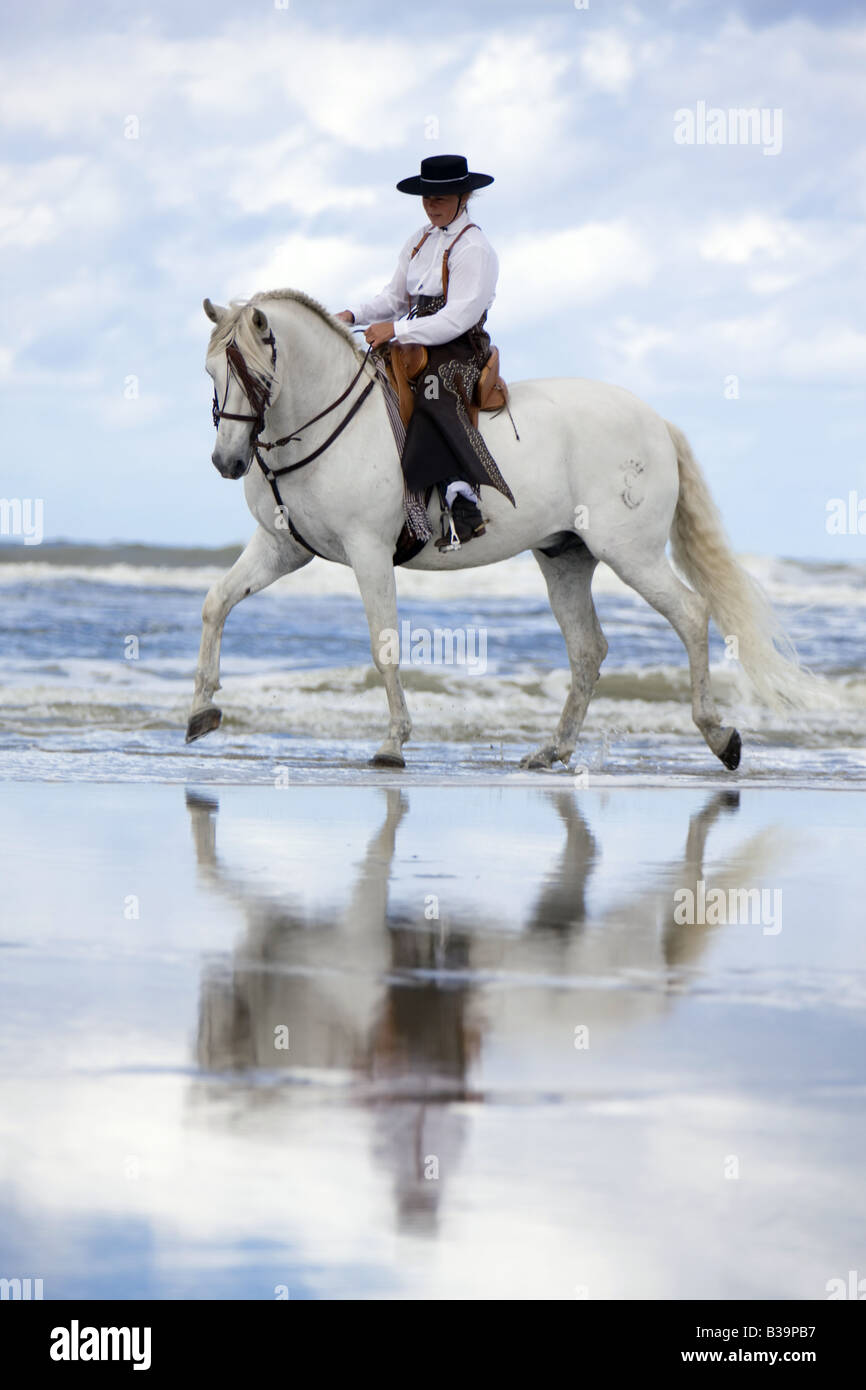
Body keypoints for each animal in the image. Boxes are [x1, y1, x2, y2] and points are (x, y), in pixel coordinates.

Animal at [188, 288, 814, 770]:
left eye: (255, 374)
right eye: (211, 372)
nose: (227, 461)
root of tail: (655, 420)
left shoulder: (368, 552)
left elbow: (384, 645)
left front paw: (393, 743)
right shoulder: (283, 548)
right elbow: (217, 601)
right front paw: (201, 710)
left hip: (630, 553)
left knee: (689, 613)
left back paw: (718, 734)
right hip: (567, 557)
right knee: (588, 648)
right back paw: (553, 750)